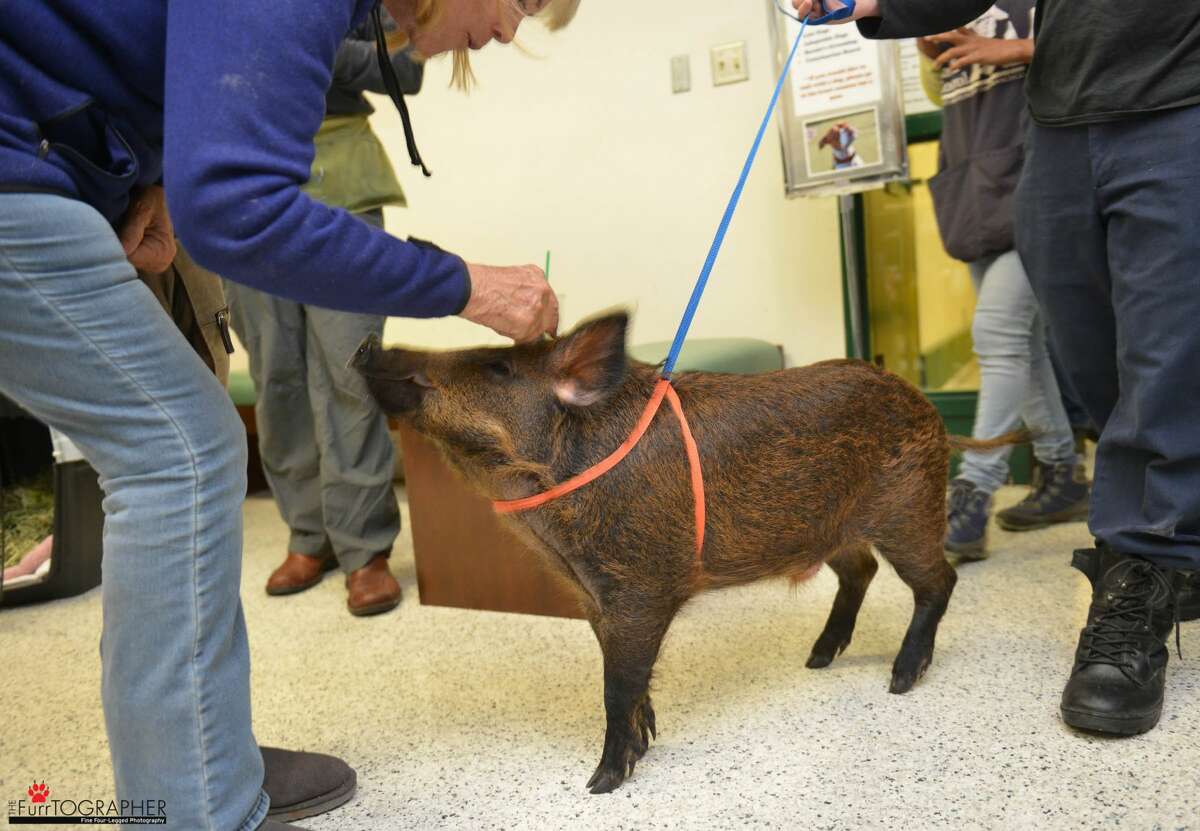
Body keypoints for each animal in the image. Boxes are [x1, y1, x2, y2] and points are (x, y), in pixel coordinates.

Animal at [351, 311, 969, 794]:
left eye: (498, 368)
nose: (367, 344)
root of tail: (926, 406)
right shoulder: (593, 597)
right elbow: (623, 673)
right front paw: (644, 740)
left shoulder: (640, 589)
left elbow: (616, 682)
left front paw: (600, 783)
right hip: (832, 531)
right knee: (861, 570)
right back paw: (817, 659)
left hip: (909, 512)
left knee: (940, 580)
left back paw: (899, 679)